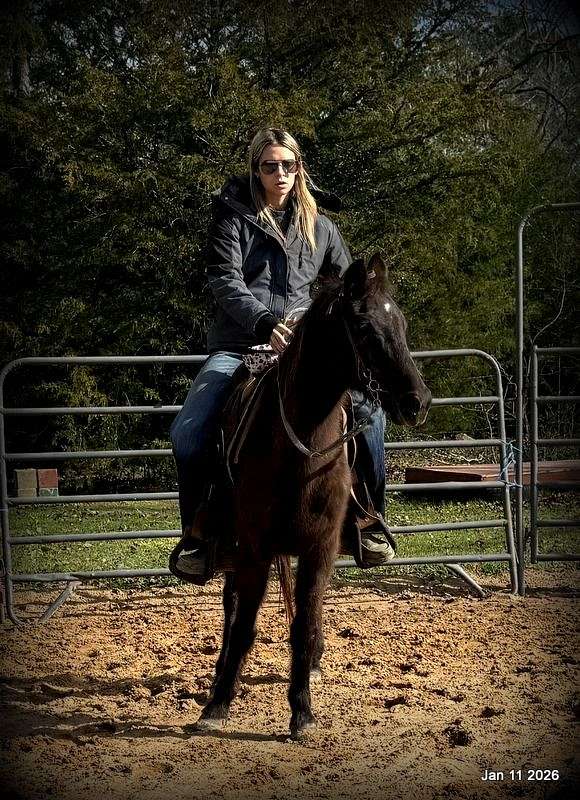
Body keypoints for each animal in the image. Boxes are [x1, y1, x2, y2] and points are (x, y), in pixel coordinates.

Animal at [194, 253, 431, 739]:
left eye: (400, 323)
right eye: (364, 328)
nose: (417, 401)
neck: (297, 446)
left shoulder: (320, 547)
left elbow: (304, 624)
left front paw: (302, 711)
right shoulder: (254, 547)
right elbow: (244, 623)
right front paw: (218, 703)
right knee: (231, 607)